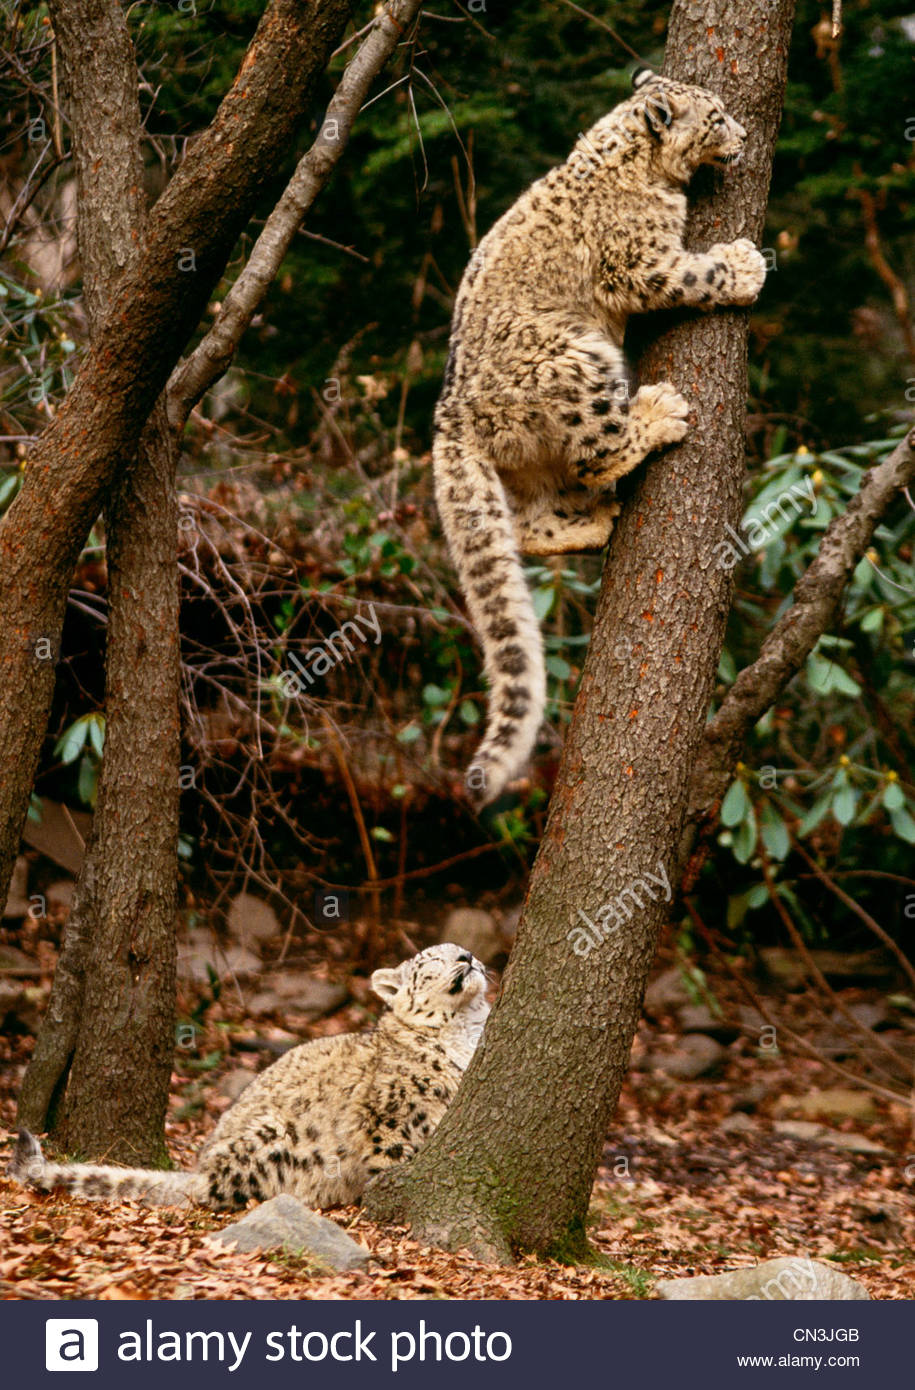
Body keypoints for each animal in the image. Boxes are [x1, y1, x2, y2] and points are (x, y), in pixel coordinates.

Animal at [6, 943, 489, 1211]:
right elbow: (391, 1156)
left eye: (467, 952)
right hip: (271, 1136)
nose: (468, 957)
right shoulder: (390, 1117)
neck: (465, 1030)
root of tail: (200, 1168)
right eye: (431, 960)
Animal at [433, 67, 767, 808]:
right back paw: (659, 412)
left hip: (525, 460)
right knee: (594, 453)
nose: (743, 136)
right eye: (715, 116)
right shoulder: (639, 262)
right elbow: (692, 275)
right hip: (575, 354)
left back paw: (589, 524)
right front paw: (742, 265)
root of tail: (449, 415)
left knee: (529, 522)